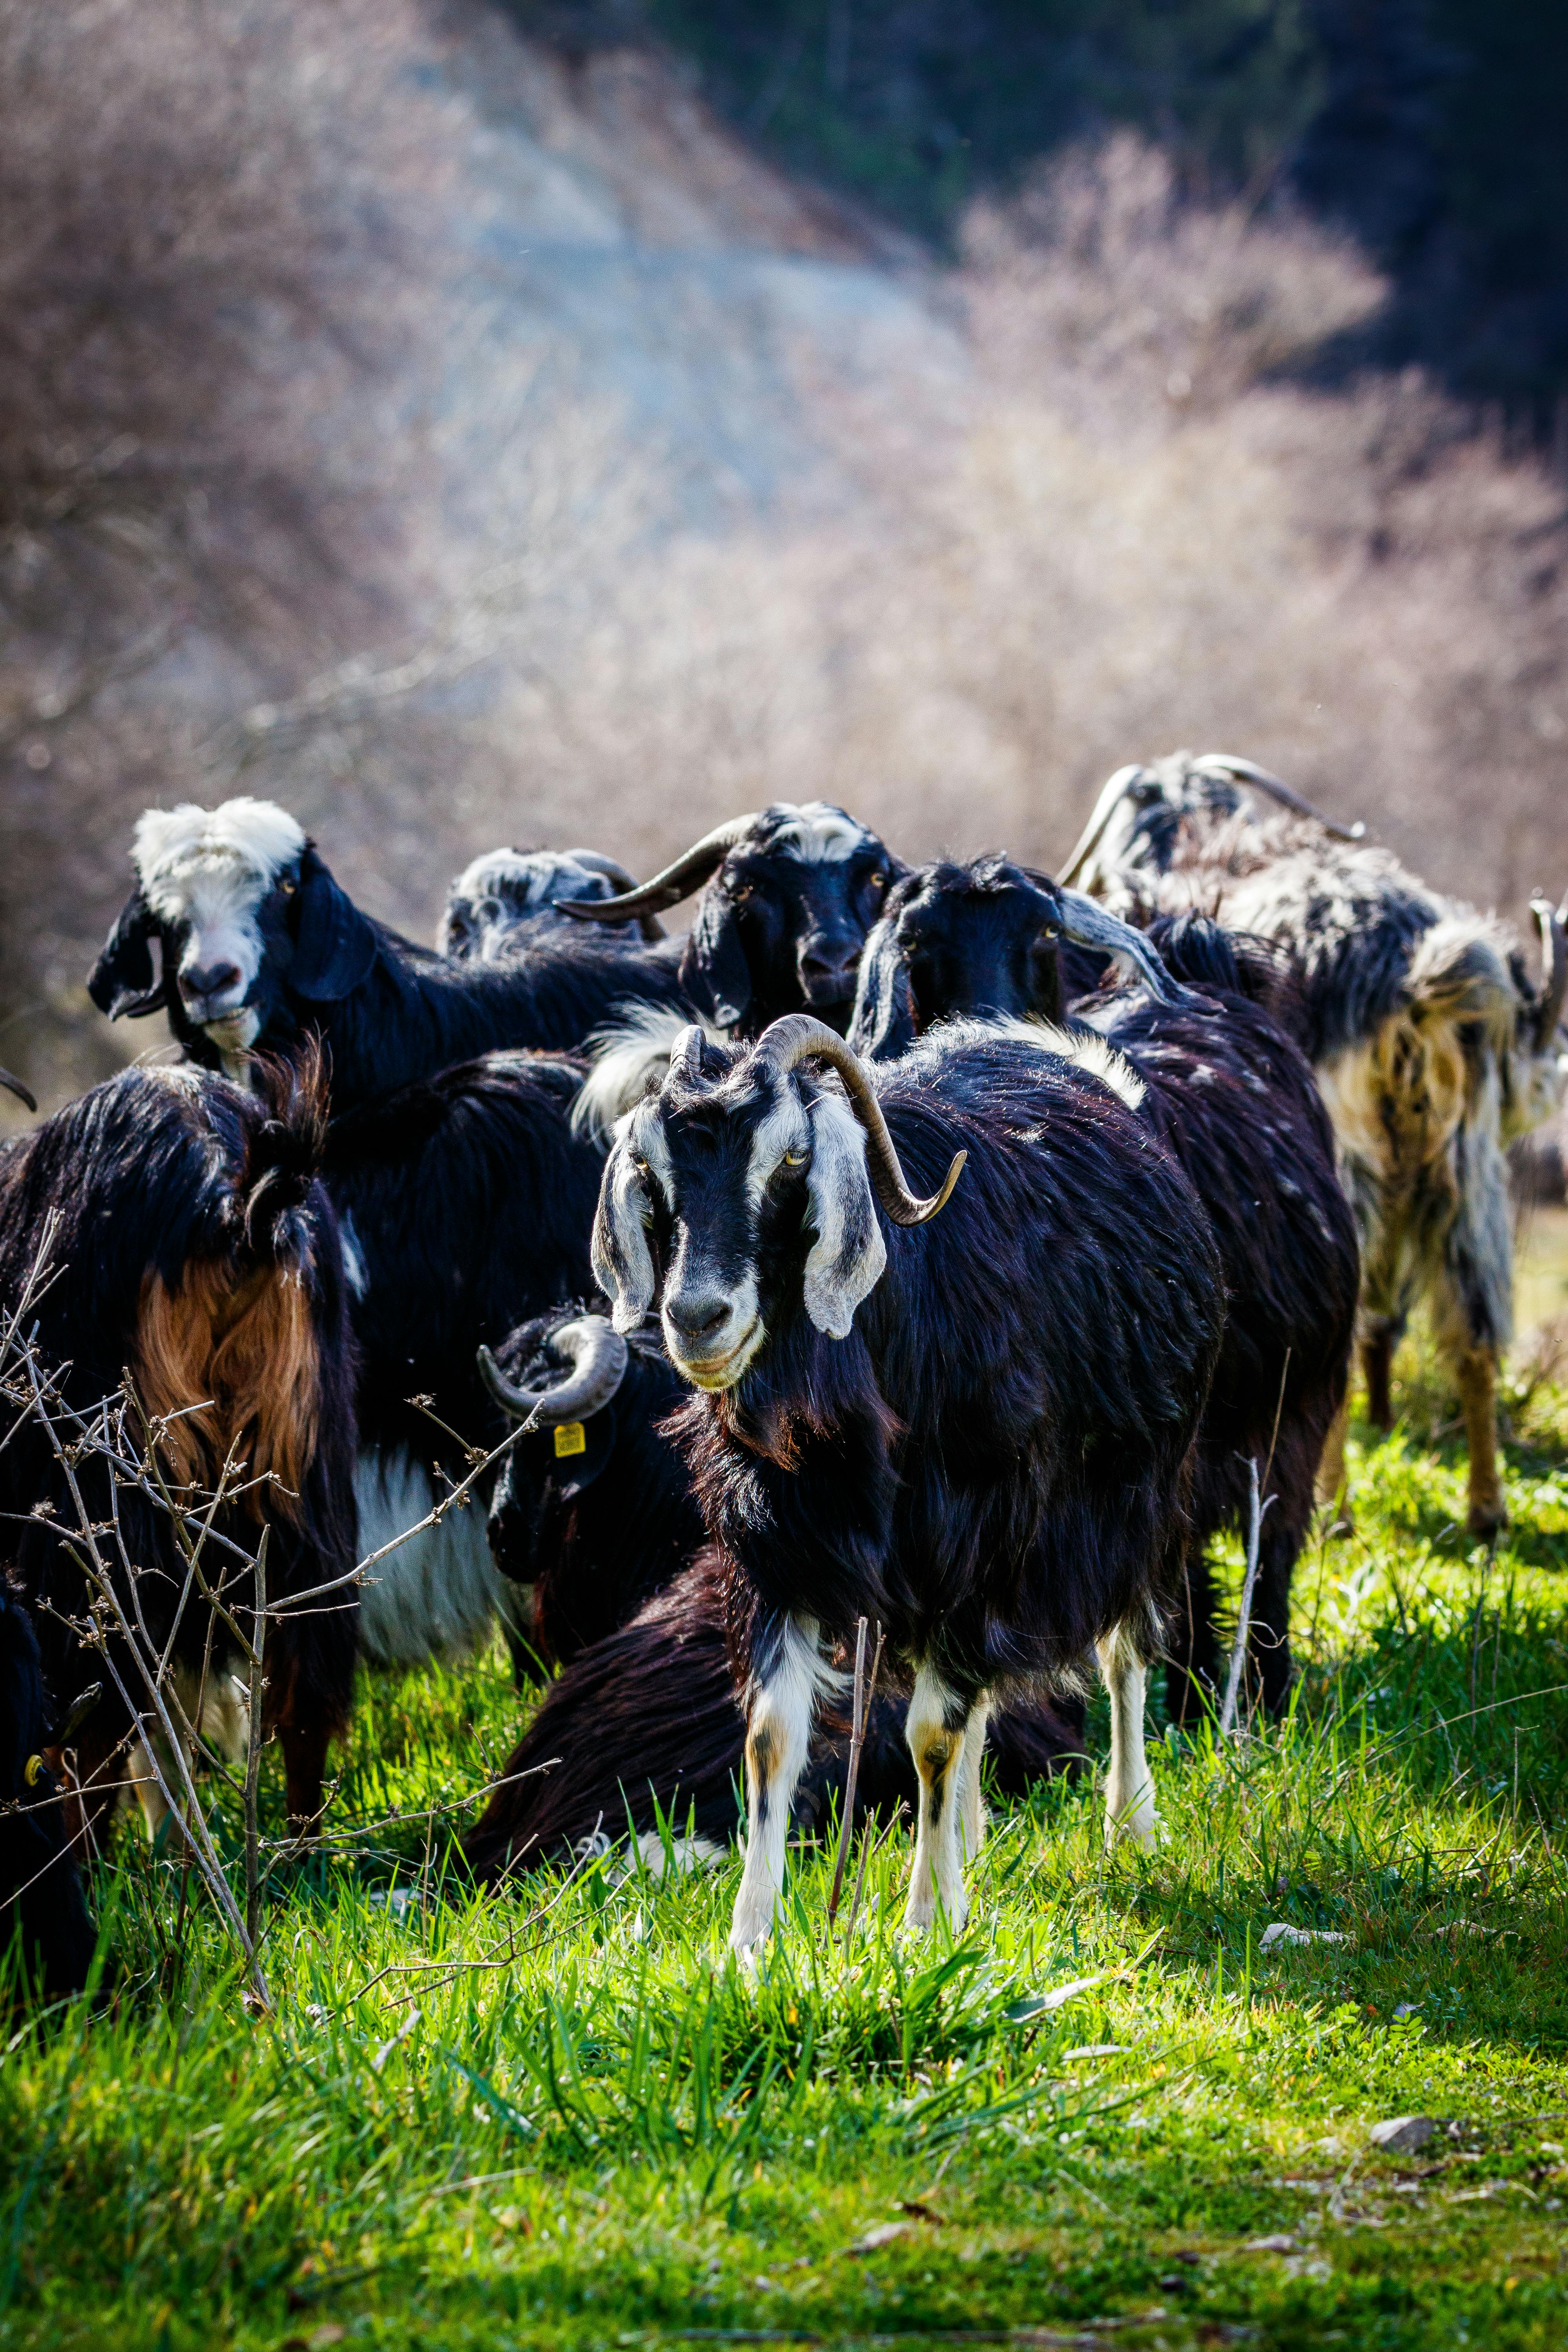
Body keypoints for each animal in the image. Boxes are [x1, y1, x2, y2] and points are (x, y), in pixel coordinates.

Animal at [0, 1055, 359, 1834]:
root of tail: (238, 1210)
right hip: (300, 1478)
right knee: (305, 1683)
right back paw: (300, 1845)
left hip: (104, 1496)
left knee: (95, 1715)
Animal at [590, 1013, 1225, 1948]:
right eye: (651, 1166)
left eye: (790, 1156)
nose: (698, 1318)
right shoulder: (783, 1545)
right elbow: (771, 1737)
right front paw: (748, 1942)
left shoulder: (980, 1535)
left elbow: (929, 1734)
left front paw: (926, 1924)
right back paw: (971, 1838)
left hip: (1138, 1500)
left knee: (1122, 1654)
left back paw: (1129, 1827)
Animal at [849, 858, 1358, 1719]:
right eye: (917, 944)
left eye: (1044, 936)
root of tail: (1212, 967)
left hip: (1292, 1404)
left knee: (1269, 1551)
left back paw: (1258, 1691)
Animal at [1063, 752, 1568, 1535]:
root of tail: (1416, 977)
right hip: (1466, 1164)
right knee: (1475, 1331)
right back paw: (1486, 1511)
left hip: (1349, 1160)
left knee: (1346, 1333)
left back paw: (1333, 1506)